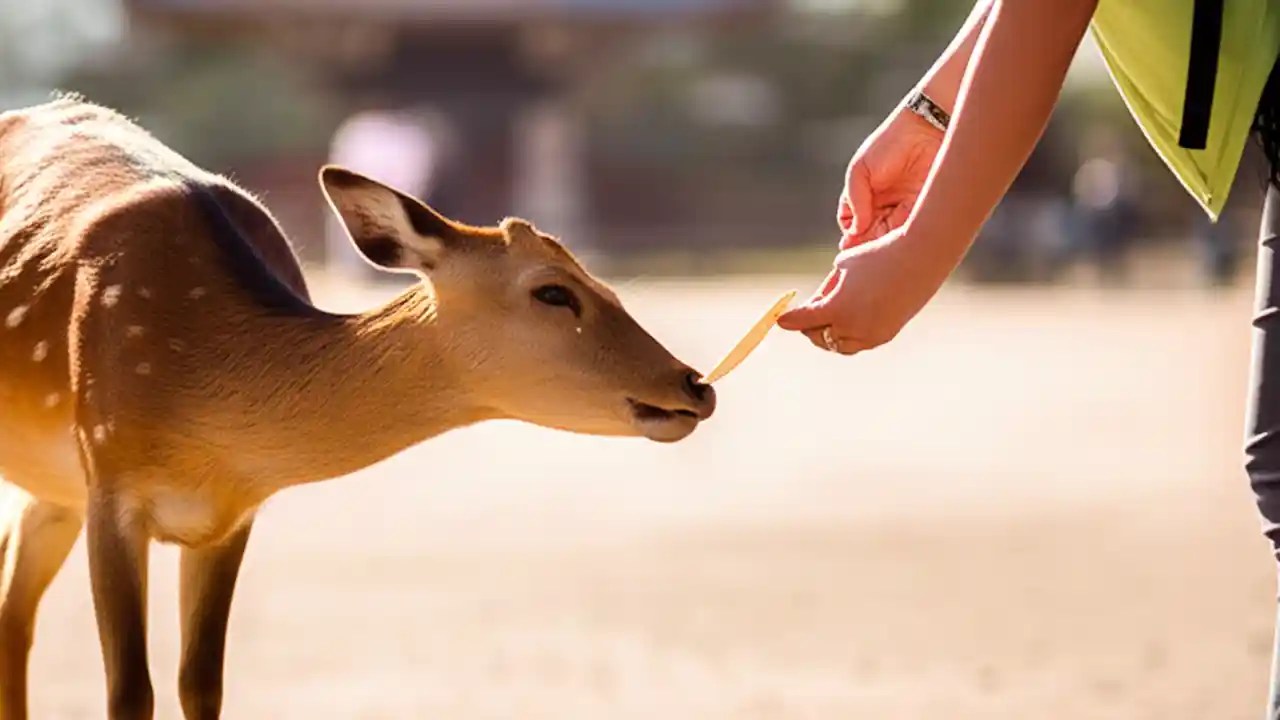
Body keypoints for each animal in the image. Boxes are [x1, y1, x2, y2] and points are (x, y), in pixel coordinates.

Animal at [0, 96, 716, 719]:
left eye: (604, 281)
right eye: (553, 291)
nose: (694, 386)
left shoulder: (230, 515)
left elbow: (201, 685)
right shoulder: (112, 482)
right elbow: (130, 692)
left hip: (54, 493)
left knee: (13, 614)